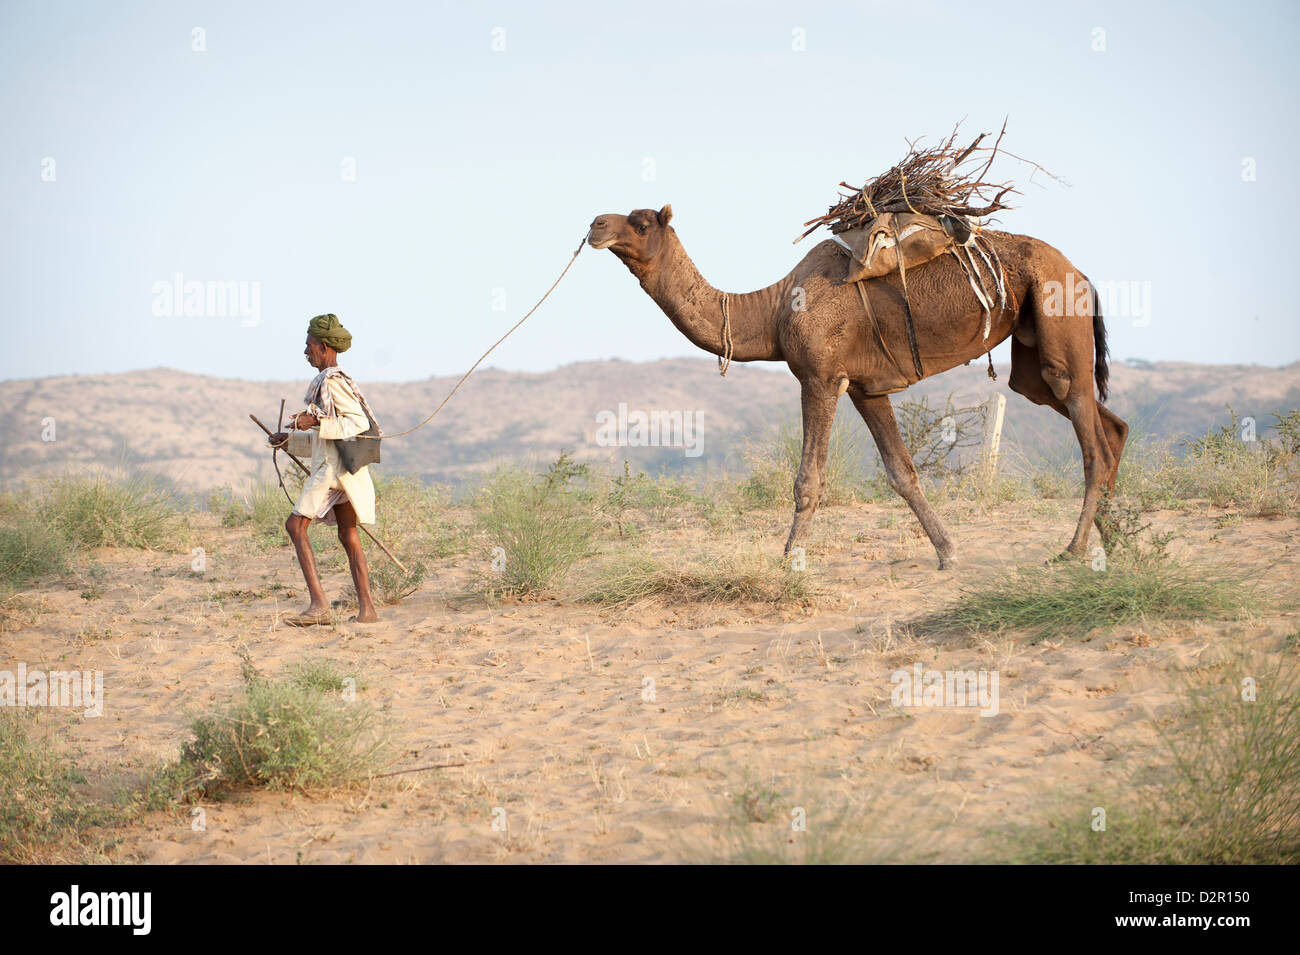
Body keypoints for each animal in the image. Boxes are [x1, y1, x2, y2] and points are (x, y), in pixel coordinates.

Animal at [588, 205, 1128, 568]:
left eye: (640, 223)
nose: (596, 225)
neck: (775, 309)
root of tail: (1081, 273)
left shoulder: (821, 377)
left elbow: (808, 479)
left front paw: (790, 562)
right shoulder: (867, 389)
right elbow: (902, 473)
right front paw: (949, 552)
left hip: (1057, 310)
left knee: (1091, 442)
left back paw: (1073, 549)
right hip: (1032, 355)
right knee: (1108, 426)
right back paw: (1113, 539)